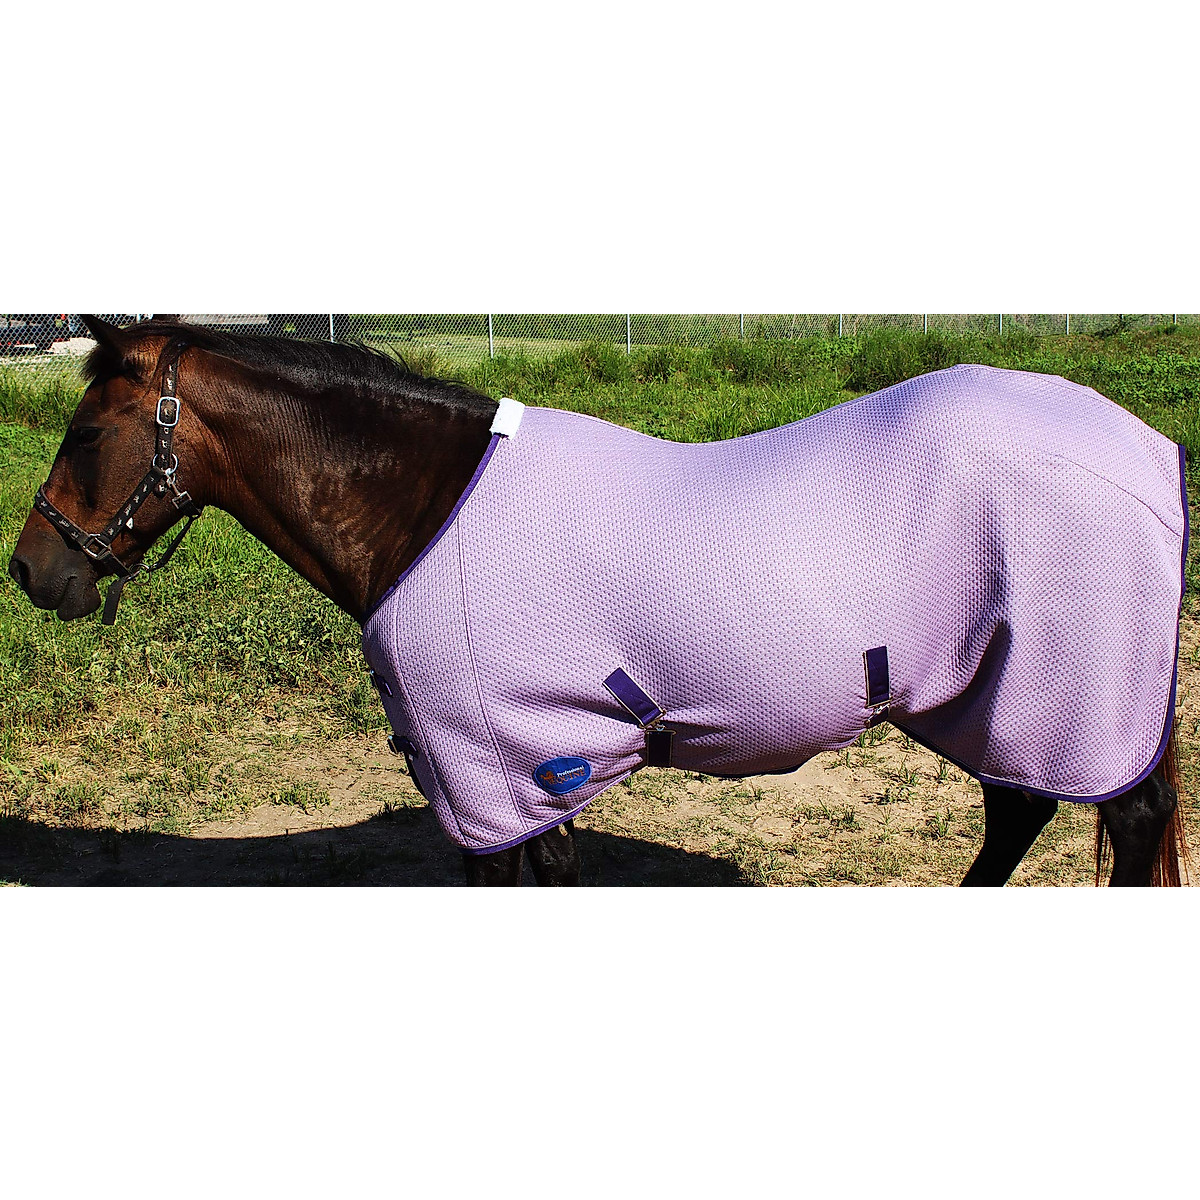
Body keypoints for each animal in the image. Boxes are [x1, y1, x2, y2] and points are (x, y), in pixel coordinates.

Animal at [7, 316, 1191, 886]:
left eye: (86, 433)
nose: (31, 570)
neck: (429, 507)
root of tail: (1142, 446)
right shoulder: (510, 769)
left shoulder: (496, 769)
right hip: (989, 695)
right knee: (1019, 809)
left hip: (1066, 690)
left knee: (1119, 822)